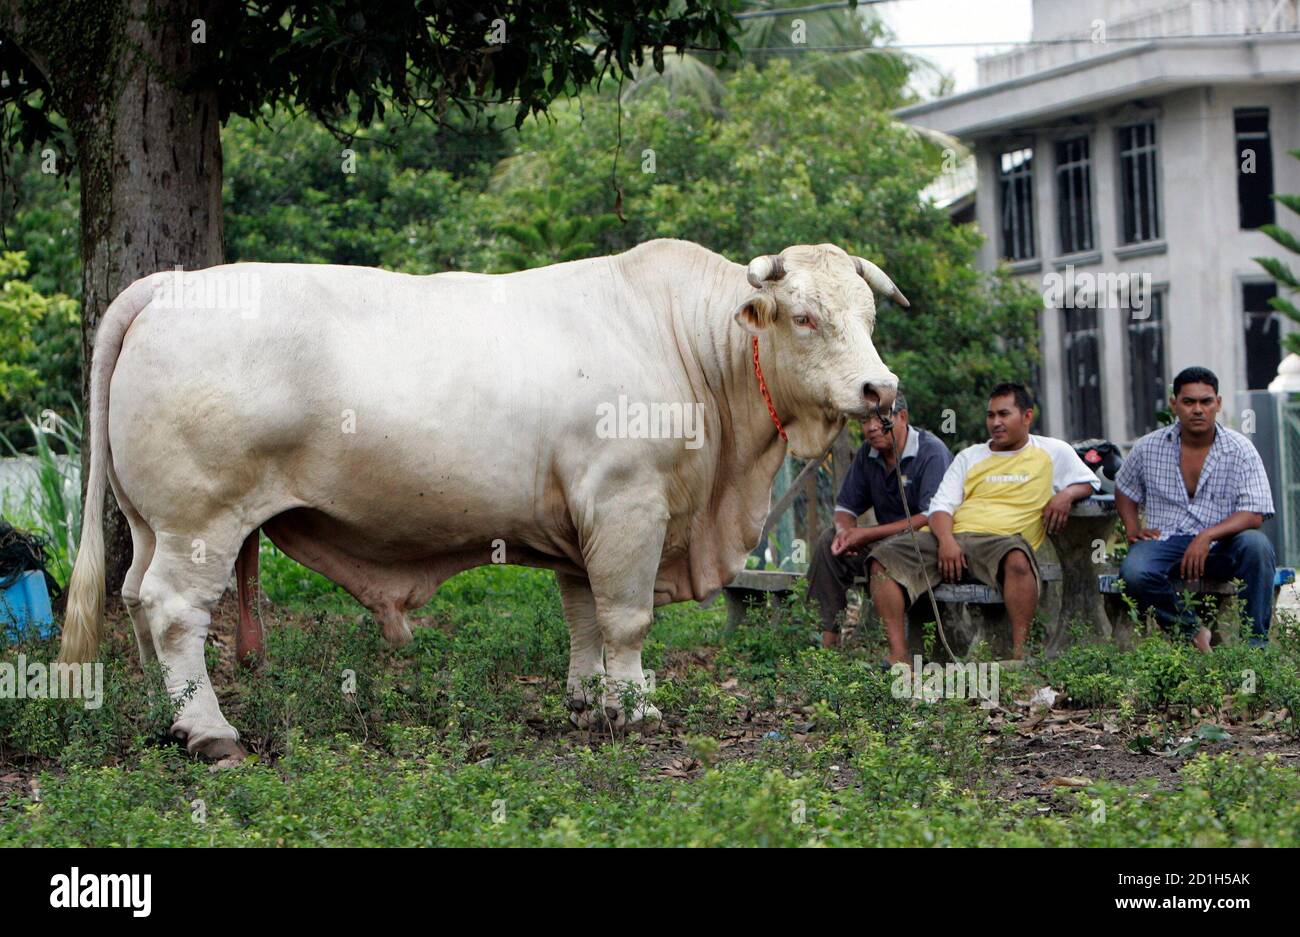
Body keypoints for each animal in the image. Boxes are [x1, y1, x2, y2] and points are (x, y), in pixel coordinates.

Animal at [58, 239, 905, 761]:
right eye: (806, 317)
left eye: (867, 315)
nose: (881, 387)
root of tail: (171, 283)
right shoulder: (628, 505)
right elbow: (625, 619)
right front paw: (634, 708)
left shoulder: (584, 521)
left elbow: (583, 614)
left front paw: (586, 699)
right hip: (201, 518)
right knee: (173, 609)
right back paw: (209, 729)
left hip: (150, 521)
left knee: (134, 597)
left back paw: (162, 715)